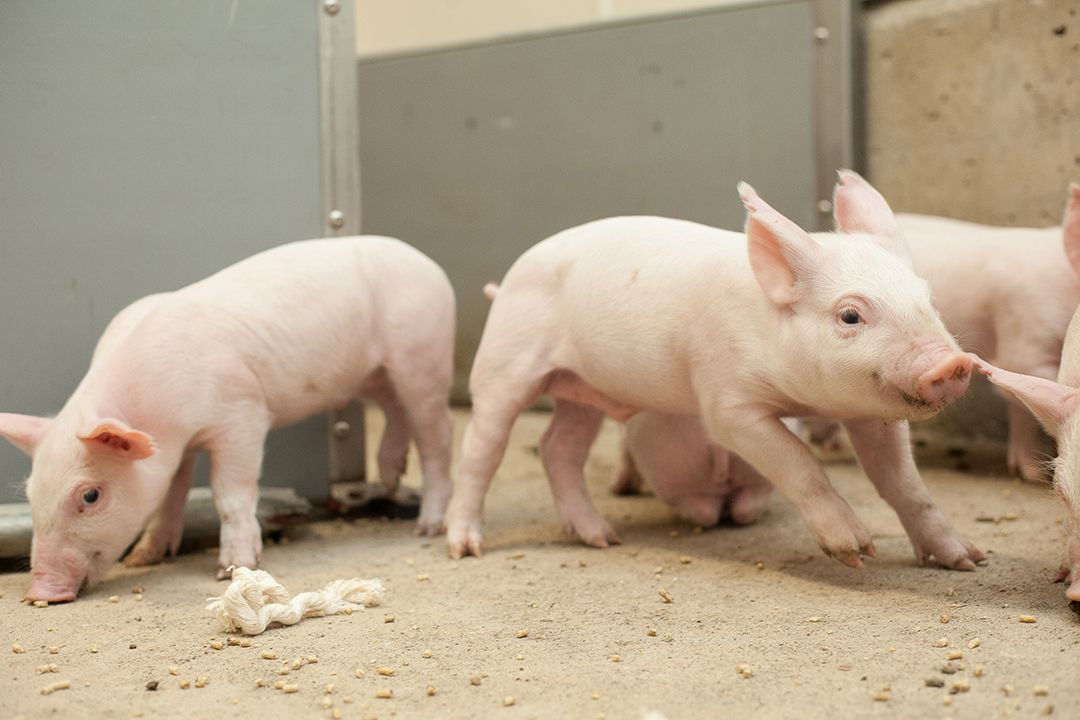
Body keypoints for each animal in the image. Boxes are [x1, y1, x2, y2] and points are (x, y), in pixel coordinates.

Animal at [0, 236, 455, 602]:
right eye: (31, 491)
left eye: (90, 496)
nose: (40, 593)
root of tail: (430, 264)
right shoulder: (177, 450)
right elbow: (172, 495)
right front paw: (145, 558)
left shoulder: (243, 414)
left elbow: (231, 493)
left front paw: (231, 569)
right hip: (374, 376)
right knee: (396, 410)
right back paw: (392, 478)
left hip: (422, 357)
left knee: (437, 435)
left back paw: (428, 528)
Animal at [444, 170, 984, 571]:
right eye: (850, 315)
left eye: (929, 298)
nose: (954, 361)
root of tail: (510, 277)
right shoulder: (727, 401)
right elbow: (799, 463)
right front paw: (855, 552)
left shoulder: (872, 416)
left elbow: (905, 485)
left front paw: (967, 559)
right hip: (503, 363)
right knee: (480, 449)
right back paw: (464, 548)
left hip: (582, 390)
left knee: (559, 448)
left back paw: (602, 539)